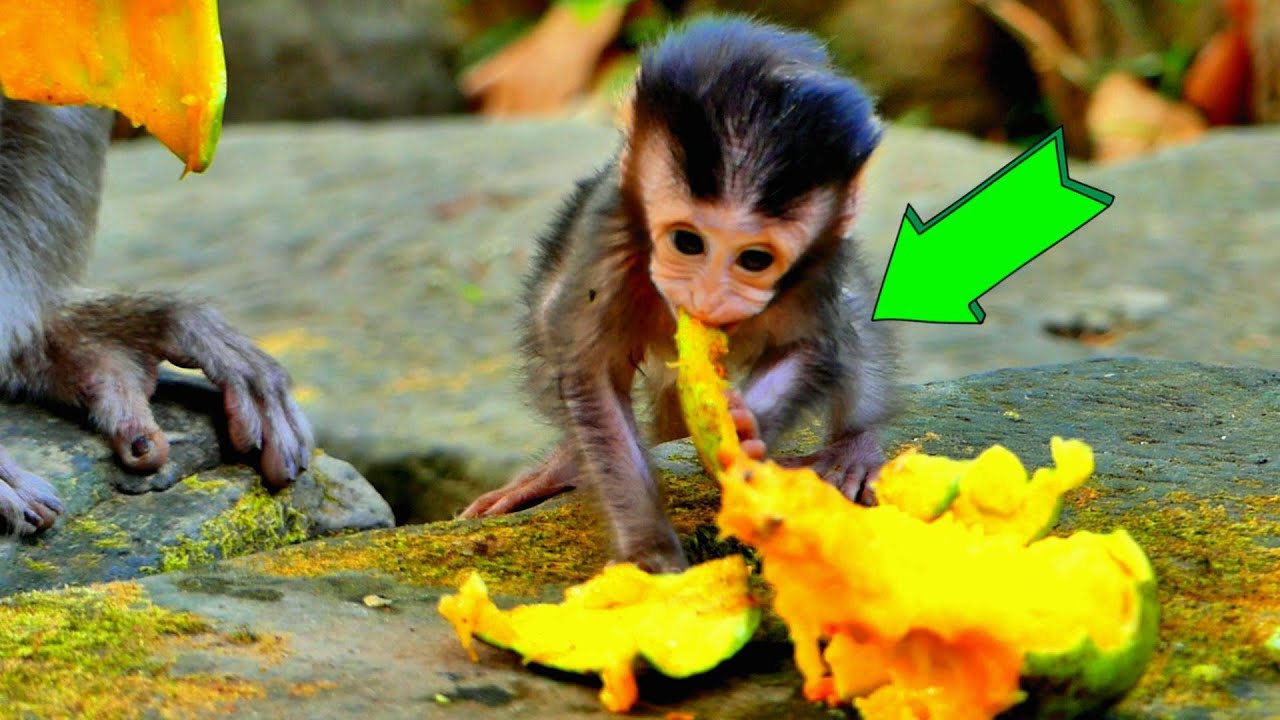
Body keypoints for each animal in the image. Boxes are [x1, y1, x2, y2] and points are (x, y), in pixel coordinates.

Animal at [460, 17, 897, 573]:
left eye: (754, 260)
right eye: (688, 242)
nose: (708, 300)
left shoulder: (820, 259)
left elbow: (816, 344)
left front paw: (744, 424)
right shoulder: (608, 238)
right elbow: (590, 373)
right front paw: (650, 553)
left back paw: (852, 448)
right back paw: (560, 466)